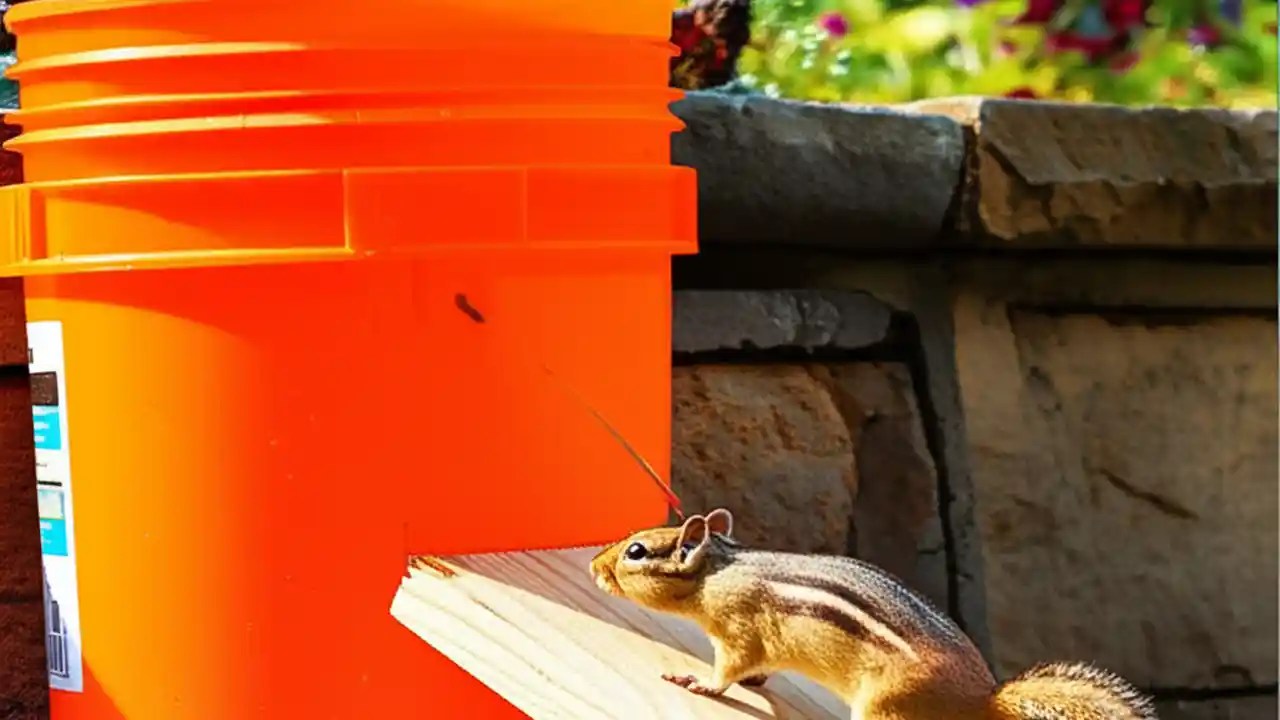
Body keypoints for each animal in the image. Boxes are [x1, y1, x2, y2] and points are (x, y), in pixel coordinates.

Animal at [589, 507, 1158, 720]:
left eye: (636, 551)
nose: (595, 566)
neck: (718, 571)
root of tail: (982, 698)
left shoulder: (739, 629)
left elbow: (727, 669)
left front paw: (697, 682)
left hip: (885, 705)